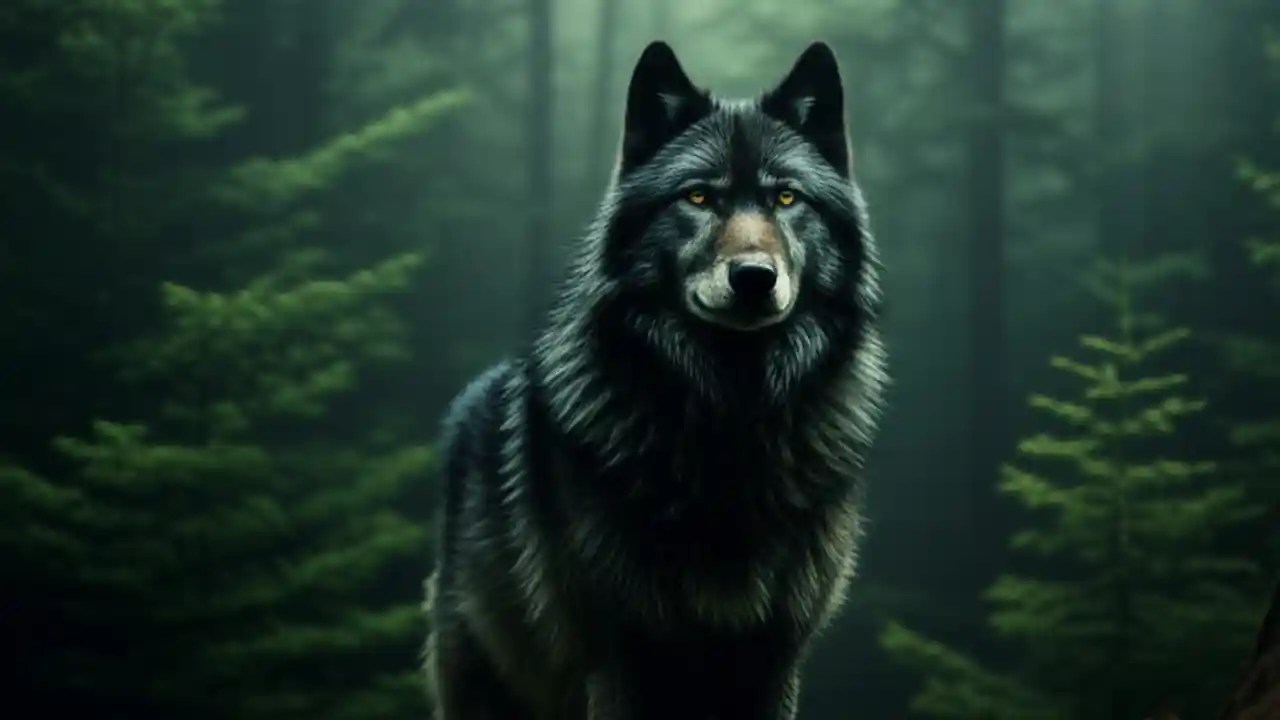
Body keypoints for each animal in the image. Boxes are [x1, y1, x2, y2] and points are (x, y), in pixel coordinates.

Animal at [423, 40, 888, 719]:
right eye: (697, 198)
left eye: (785, 199)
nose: (754, 277)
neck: (733, 424)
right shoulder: (624, 658)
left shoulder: (774, 659)